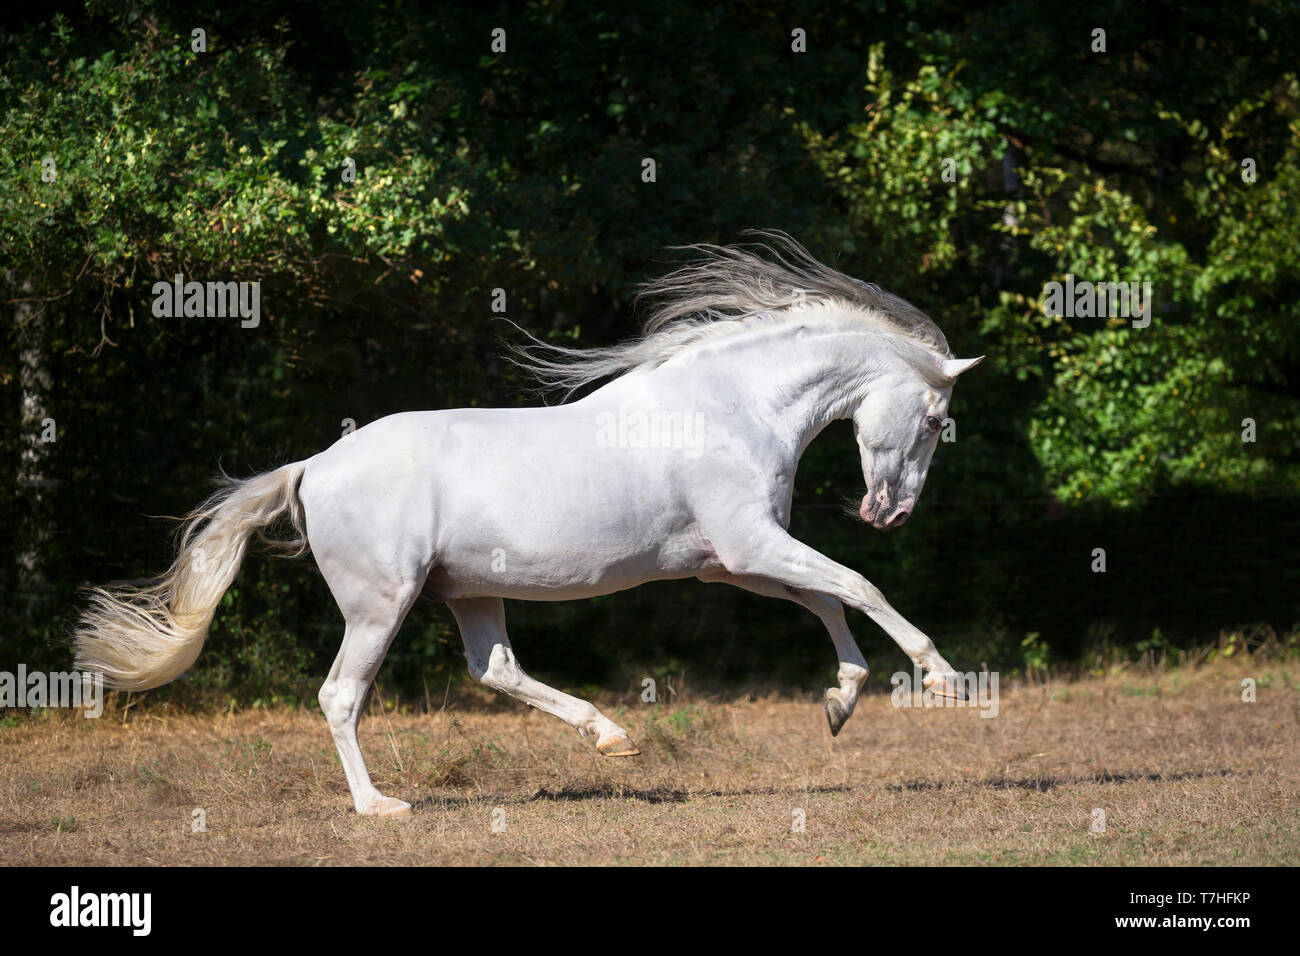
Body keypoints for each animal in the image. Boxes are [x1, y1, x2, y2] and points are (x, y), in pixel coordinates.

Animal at [74, 232, 984, 817]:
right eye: (938, 421)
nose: (891, 512)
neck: (734, 404)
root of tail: (313, 468)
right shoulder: (751, 546)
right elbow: (860, 584)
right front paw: (944, 681)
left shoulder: (733, 559)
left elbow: (830, 599)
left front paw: (840, 702)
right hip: (382, 604)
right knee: (341, 695)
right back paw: (381, 807)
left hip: (469, 591)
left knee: (496, 669)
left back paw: (611, 737)